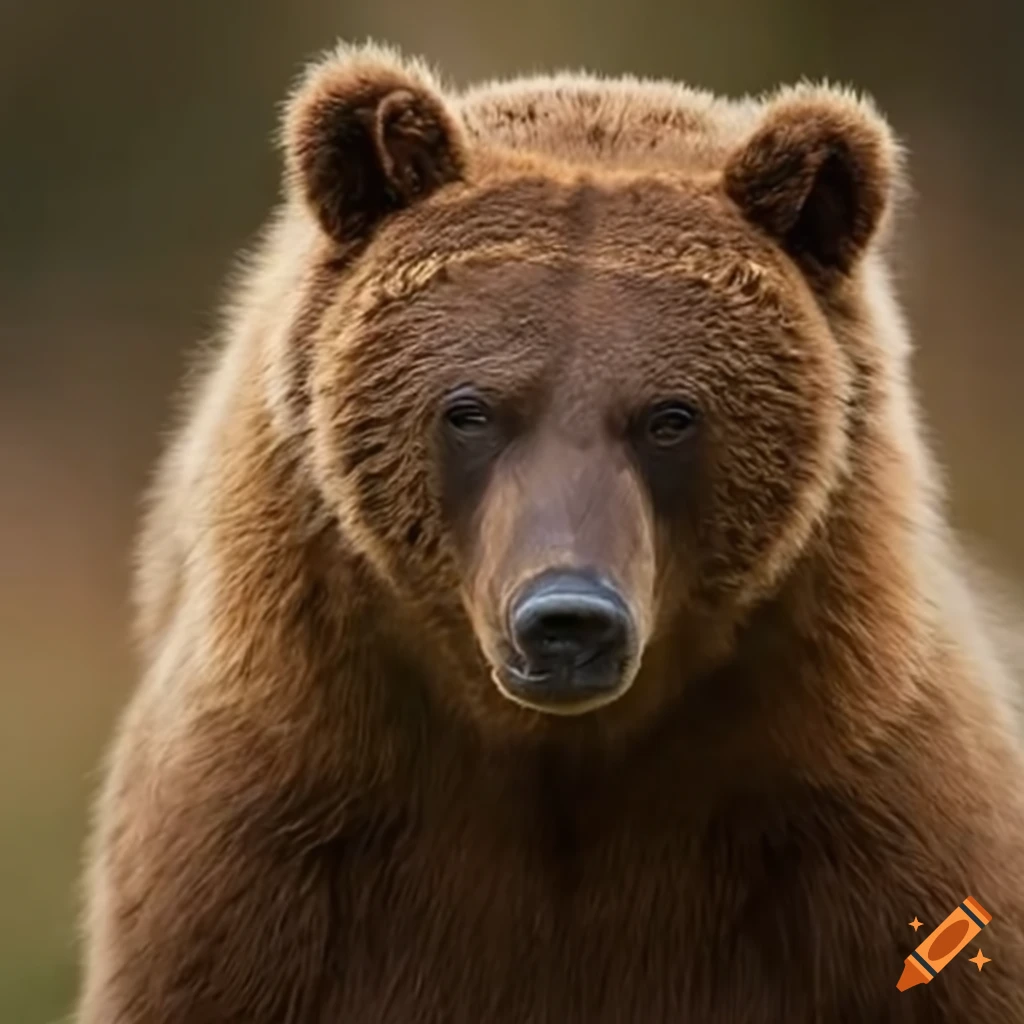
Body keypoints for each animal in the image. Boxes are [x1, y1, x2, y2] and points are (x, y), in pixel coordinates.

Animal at [77, 41, 1024, 1024]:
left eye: (671, 415)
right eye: (471, 409)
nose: (569, 618)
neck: (557, 753)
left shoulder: (854, 817)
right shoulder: (268, 838)